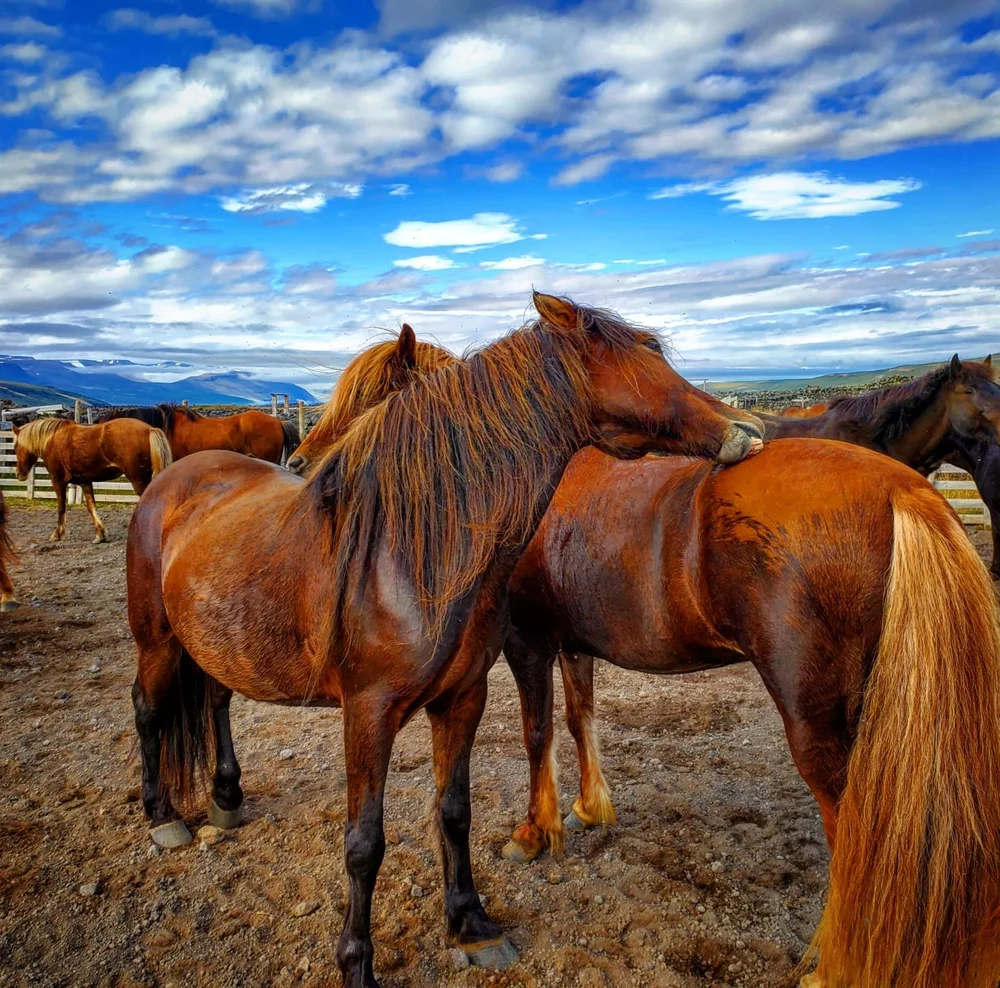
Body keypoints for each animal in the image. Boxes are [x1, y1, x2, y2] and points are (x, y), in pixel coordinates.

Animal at [12, 418, 173, 543]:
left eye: (15, 446)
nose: (19, 474)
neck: (52, 440)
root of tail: (149, 429)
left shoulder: (57, 480)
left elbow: (61, 508)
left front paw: (57, 534)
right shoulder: (85, 482)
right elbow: (91, 507)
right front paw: (100, 534)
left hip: (138, 480)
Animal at [315, 333, 1000, 987]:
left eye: (367, 407)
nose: (306, 469)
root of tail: (898, 490)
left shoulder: (527, 641)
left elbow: (538, 733)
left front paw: (534, 833)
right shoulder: (573, 643)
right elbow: (579, 720)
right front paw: (588, 809)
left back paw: (832, 965)